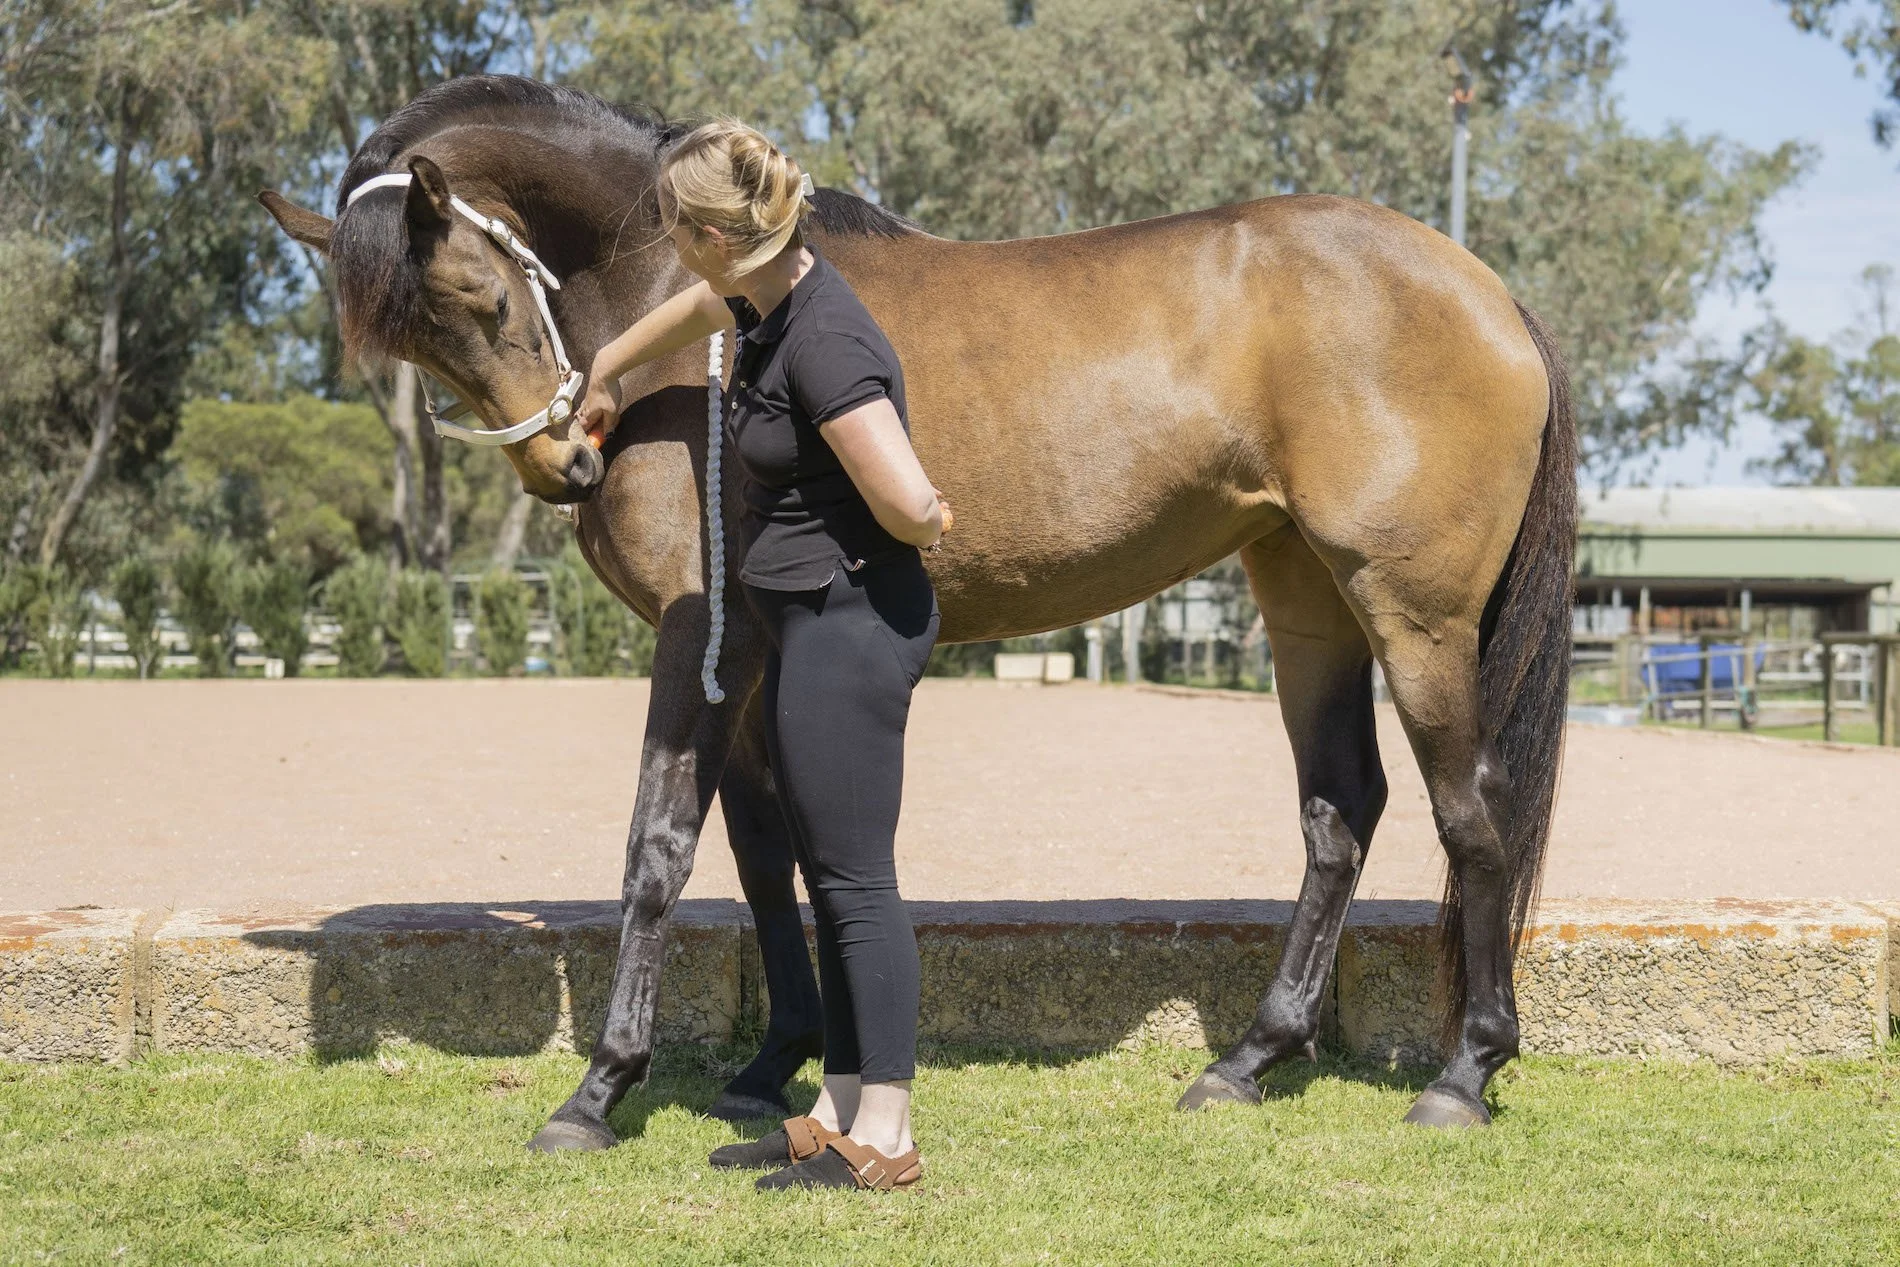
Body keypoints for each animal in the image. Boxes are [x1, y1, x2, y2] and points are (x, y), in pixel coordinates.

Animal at [259, 74, 1575, 1147]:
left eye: (477, 294)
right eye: (415, 335)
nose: (564, 460)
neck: (704, 315)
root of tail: (1490, 291)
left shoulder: (697, 631)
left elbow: (658, 848)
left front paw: (600, 1088)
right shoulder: (751, 651)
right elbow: (771, 851)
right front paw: (779, 1060)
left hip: (1412, 619)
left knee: (1473, 815)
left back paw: (1463, 1073)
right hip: (1306, 604)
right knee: (1339, 811)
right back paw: (1248, 1059)